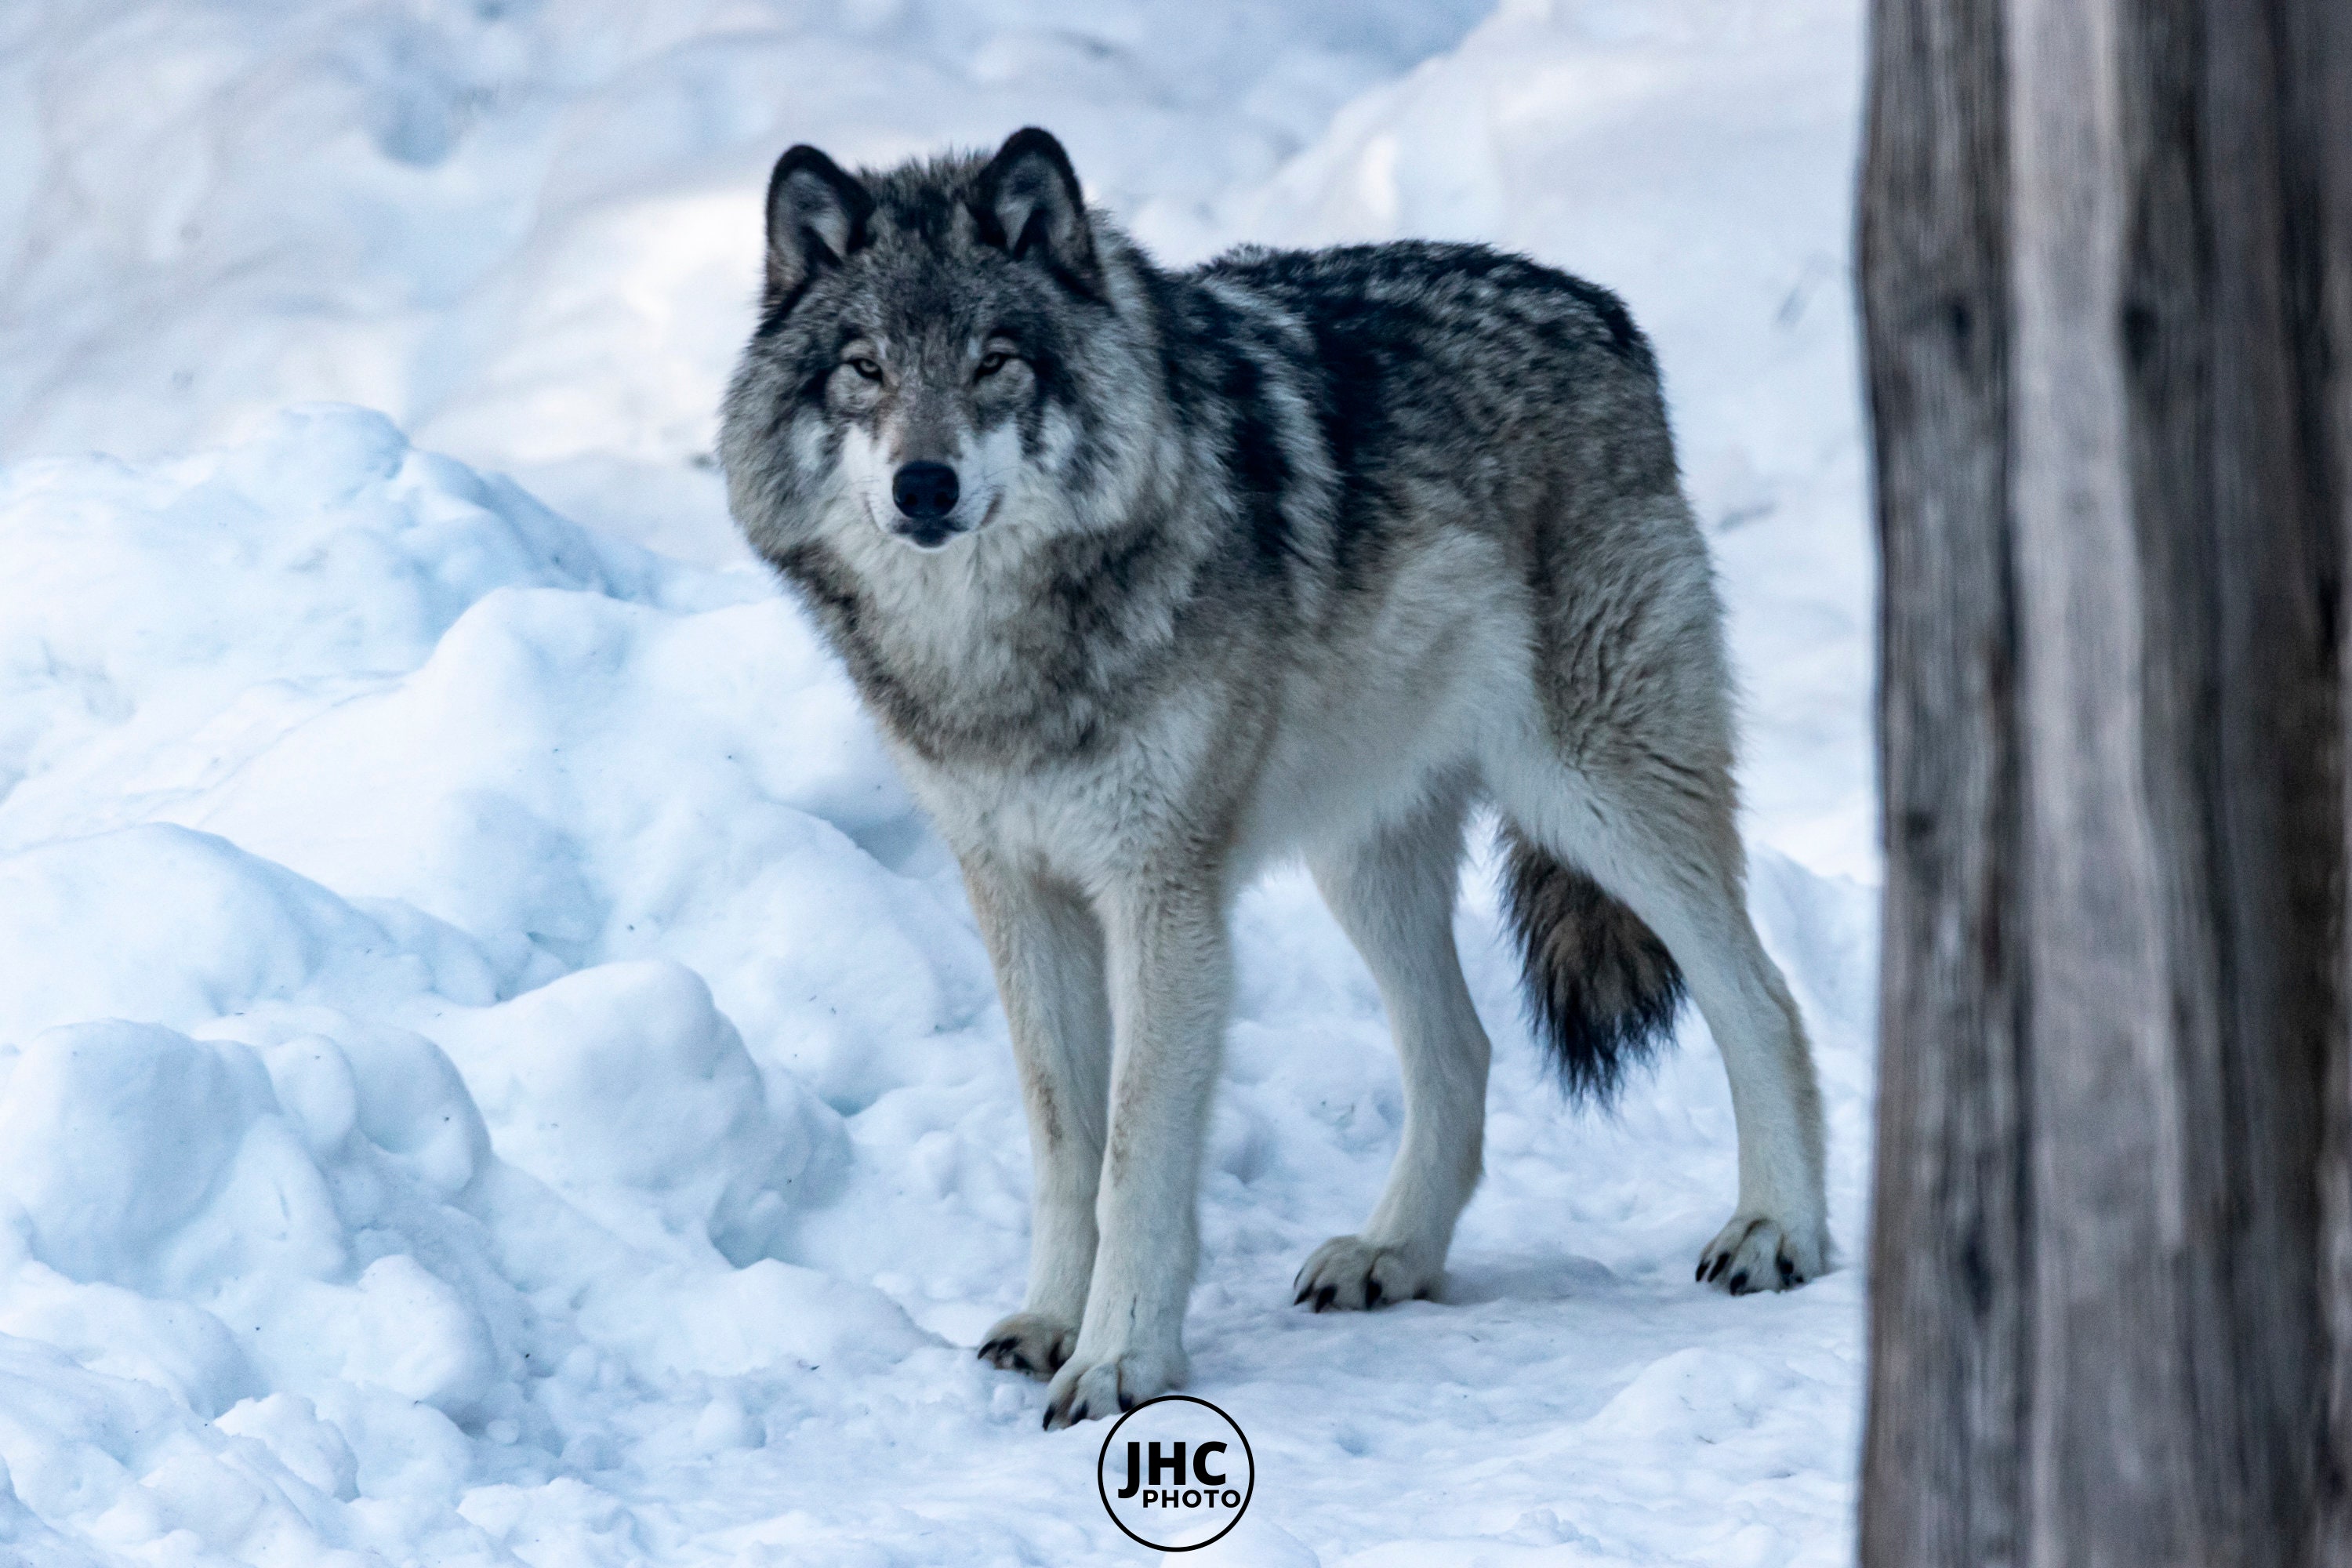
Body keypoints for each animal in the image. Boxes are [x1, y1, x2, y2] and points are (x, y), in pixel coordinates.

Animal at [719, 127, 1829, 1428]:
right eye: (864, 370)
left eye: (998, 363)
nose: (924, 485)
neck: (1001, 655)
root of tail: (1604, 312)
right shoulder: (1017, 893)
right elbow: (1062, 1144)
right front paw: (1050, 1322)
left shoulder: (1162, 897)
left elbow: (1133, 1159)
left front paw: (1120, 1361)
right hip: (1366, 857)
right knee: (1461, 1053)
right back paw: (1392, 1255)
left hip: (1598, 795)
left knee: (1763, 998)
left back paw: (1778, 1233)